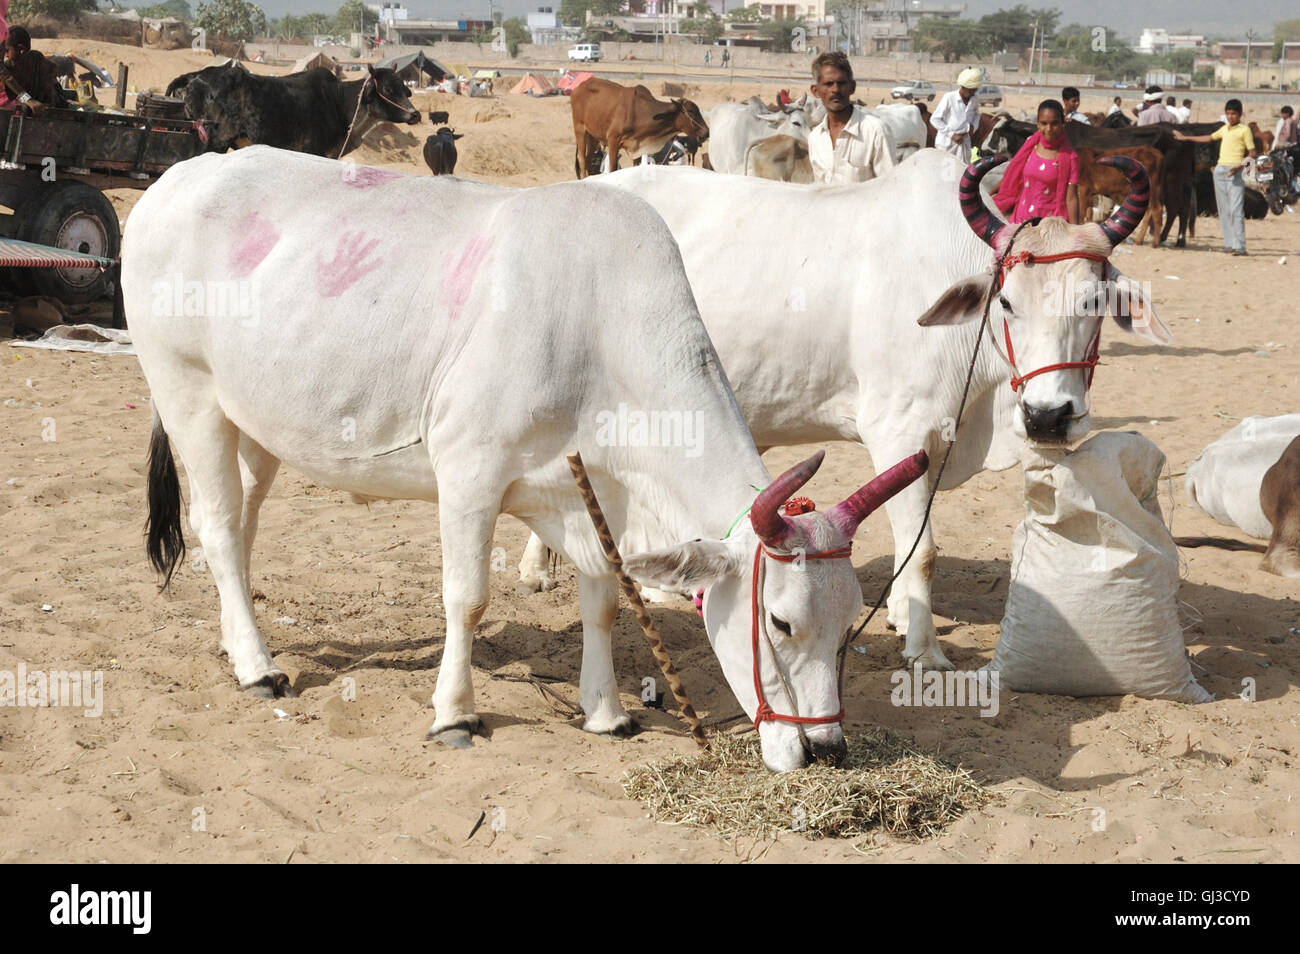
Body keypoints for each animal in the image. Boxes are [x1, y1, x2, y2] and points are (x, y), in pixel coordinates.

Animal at [122, 146, 925, 773]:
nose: (826, 751)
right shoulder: (469, 473)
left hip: (253, 426)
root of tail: (180, 176)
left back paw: (236, 645)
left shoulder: (596, 496)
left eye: (850, 622)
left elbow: (603, 601)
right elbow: (467, 598)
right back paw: (258, 668)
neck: (596, 328)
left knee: (239, 531)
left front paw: (606, 711)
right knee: (216, 527)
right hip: (187, 394)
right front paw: (454, 713)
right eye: (780, 623)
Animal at [177, 64, 420, 157]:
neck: (339, 103)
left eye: (405, 90)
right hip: (213, 142)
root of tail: (195, 76)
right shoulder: (314, 150)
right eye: (388, 90)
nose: (415, 114)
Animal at [521, 151, 1169, 672]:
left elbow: (913, 545)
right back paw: (542, 569)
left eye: (1095, 300)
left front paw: (903, 617)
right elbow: (924, 552)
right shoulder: (897, 430)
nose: (1047, 416)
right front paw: (925, 651)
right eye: (1006, 301)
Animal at [570, 78, 708, 178]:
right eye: (691, 112)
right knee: (582, 160)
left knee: (588, 160)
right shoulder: (613, 140)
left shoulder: (637, 145)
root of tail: (578, 88)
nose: (706, 132)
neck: (640, 112)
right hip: (580, 130)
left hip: (593, 137)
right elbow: (612, 168)